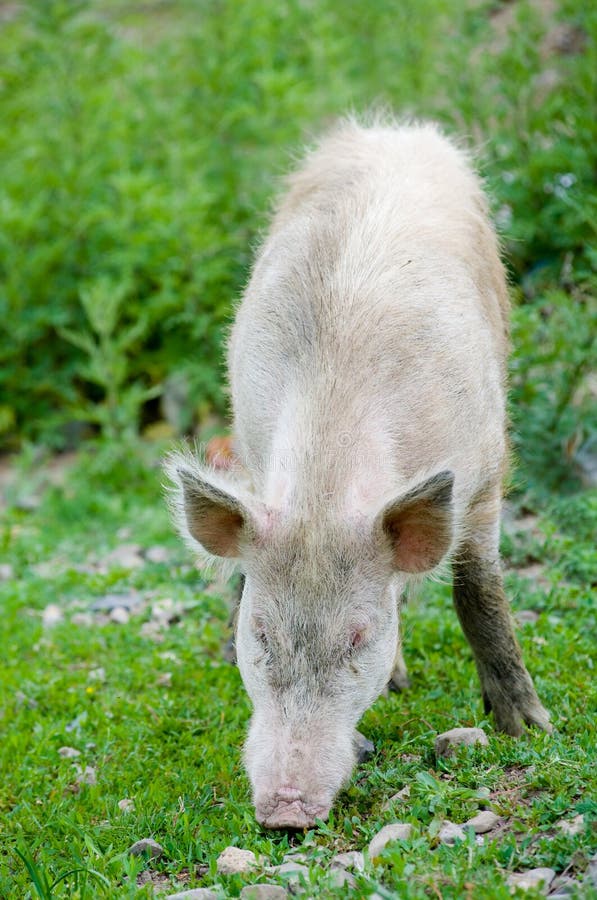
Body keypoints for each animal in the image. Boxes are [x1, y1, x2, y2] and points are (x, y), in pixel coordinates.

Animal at [166, 118, 551, 829]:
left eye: (357, 636)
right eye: (260, 632)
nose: (286, 812)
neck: (327, 490)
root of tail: (394, 128)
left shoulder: (485, 471)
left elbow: (479, 589)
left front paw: (528, 727)